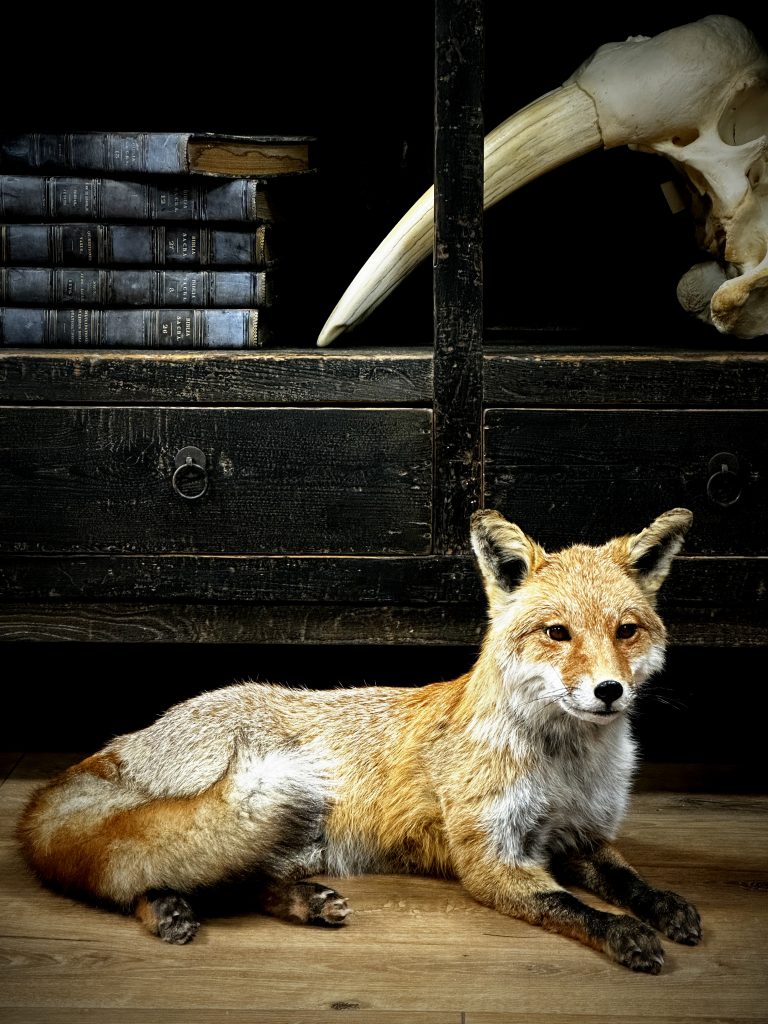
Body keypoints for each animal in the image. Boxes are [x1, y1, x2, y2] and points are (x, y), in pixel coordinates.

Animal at [18, 507, 702, 972]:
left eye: (626, 631)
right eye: (558, 632)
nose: (609, 690)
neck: (565, 771)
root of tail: (117, 745)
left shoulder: (583, 837)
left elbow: (629, 883)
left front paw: (665, 907)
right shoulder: (493, 861)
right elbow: (578, 909)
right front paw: (626, 934)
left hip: (286, 834)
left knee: (229, 878)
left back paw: (299, 904)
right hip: (263, 802)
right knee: (135, 869)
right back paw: (165, 908)